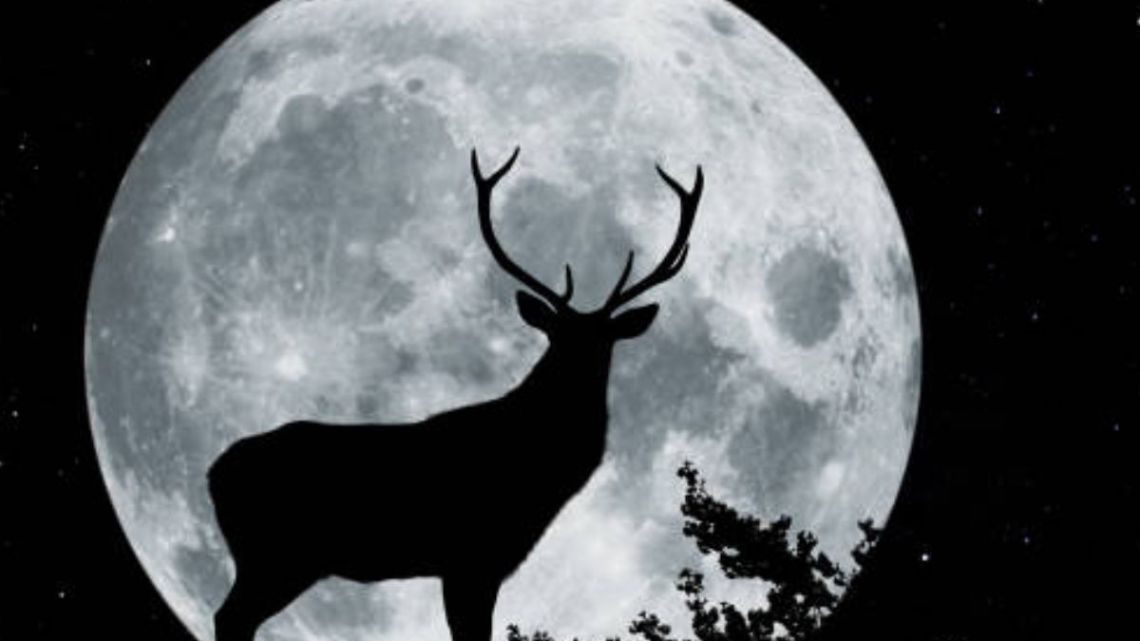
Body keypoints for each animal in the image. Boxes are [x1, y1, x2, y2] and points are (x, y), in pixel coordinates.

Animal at [208, 147, 703, 641]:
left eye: (605, 341)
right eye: (557, 336)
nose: (578, 369)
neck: (539, 472)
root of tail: (214, 473)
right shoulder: (472, 557)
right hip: (280, 554)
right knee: (230, 617)